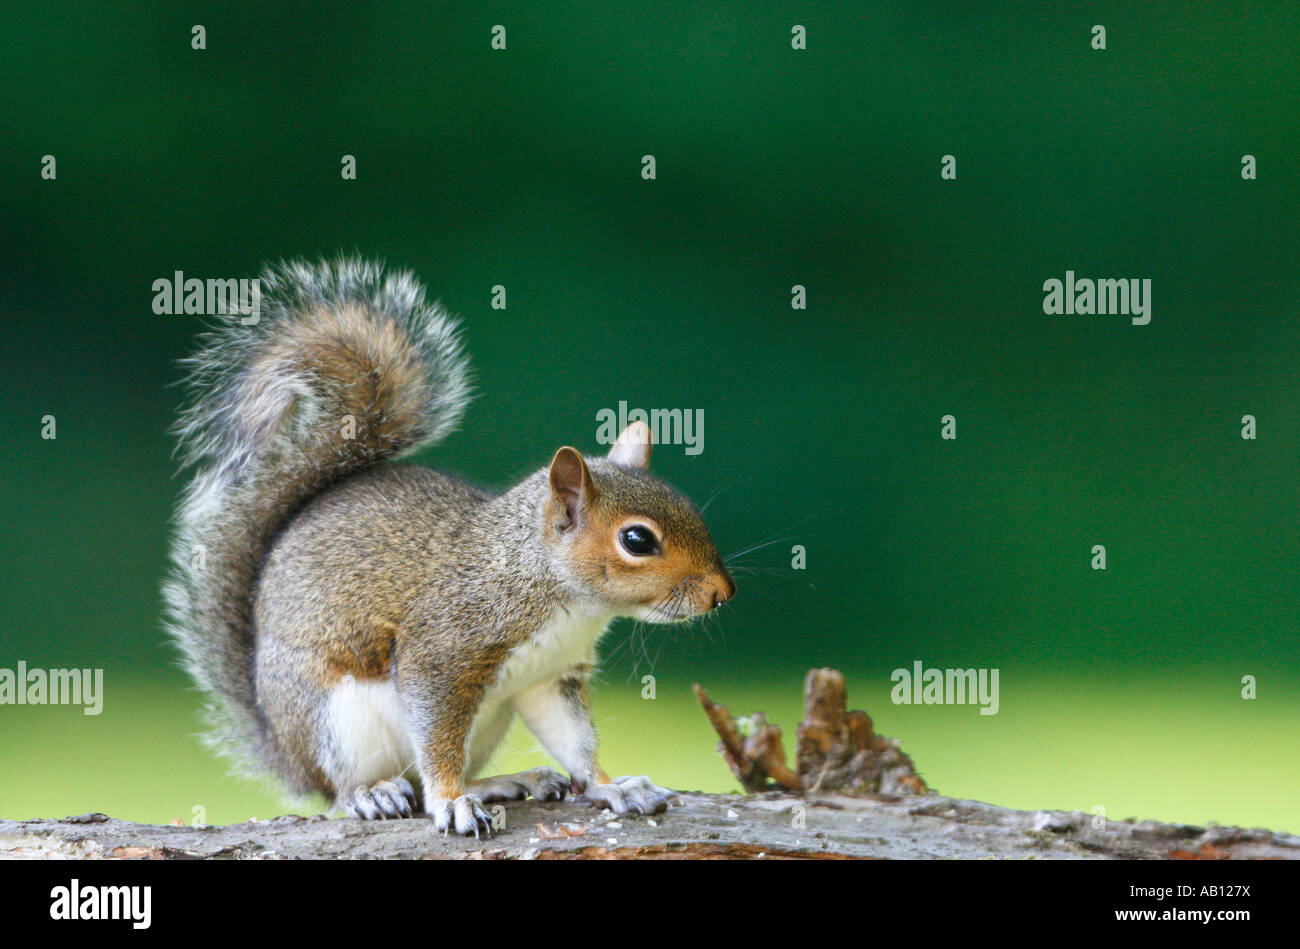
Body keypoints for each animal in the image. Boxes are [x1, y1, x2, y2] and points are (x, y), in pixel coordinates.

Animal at [164, 257, 735, 835]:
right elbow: (437, 741)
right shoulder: (442, 651)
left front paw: (610, 786)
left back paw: (502, 782)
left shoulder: (550, 677)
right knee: (348, 786)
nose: (721, 593)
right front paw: (452, 801)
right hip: (335, 720)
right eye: (637, 540)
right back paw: (376, 793)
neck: (557, 593)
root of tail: (284, 749)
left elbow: (574, 740)